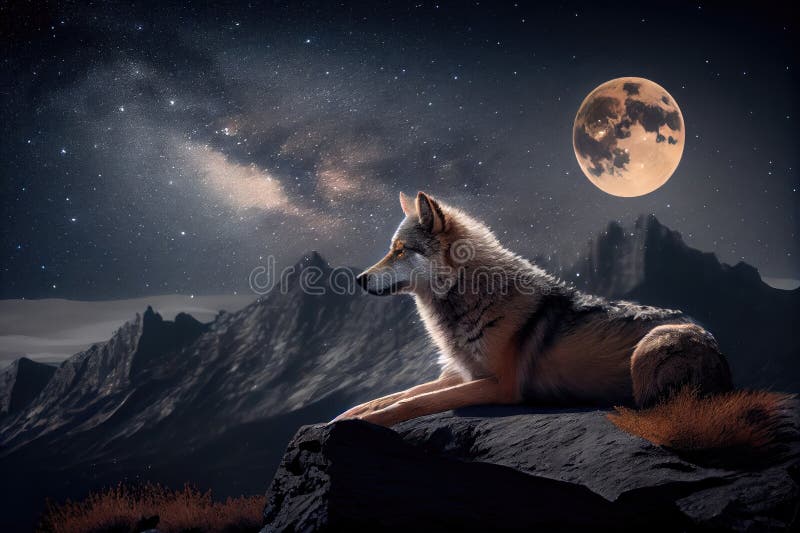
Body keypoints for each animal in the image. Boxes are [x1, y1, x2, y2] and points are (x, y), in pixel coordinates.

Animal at [334, 192, 733, 427]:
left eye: (401, 250)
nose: (359, 280)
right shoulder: (460, 374)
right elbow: (394, 396)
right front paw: (346, 415)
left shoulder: (498, 386)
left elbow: (410, 404)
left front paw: (360, 421)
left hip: (648, 352)